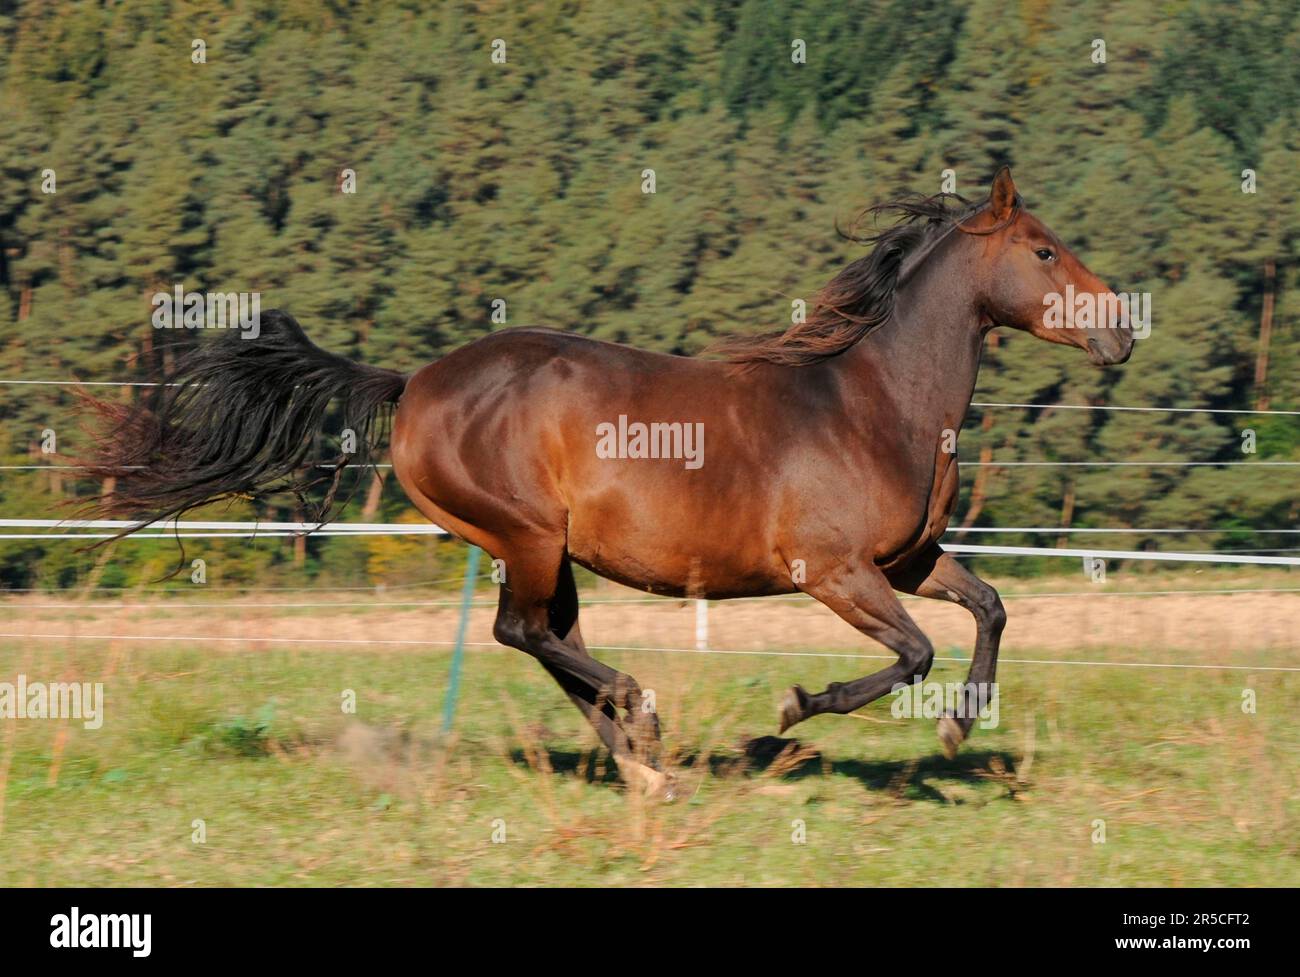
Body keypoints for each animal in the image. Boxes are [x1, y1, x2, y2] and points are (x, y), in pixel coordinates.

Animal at [84, 168, 1134, 797]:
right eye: (1044, 250)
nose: (1123, 329)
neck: (869, 400)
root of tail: (413, 382)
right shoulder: (834, 572)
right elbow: (913, 652)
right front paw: (790, 714)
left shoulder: (908, 561)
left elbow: (990, 607)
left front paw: (957, 730)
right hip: (524, 536)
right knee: (526, 633)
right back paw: (645, 719)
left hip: (545, 547)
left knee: (549, 638)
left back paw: (642, 761)